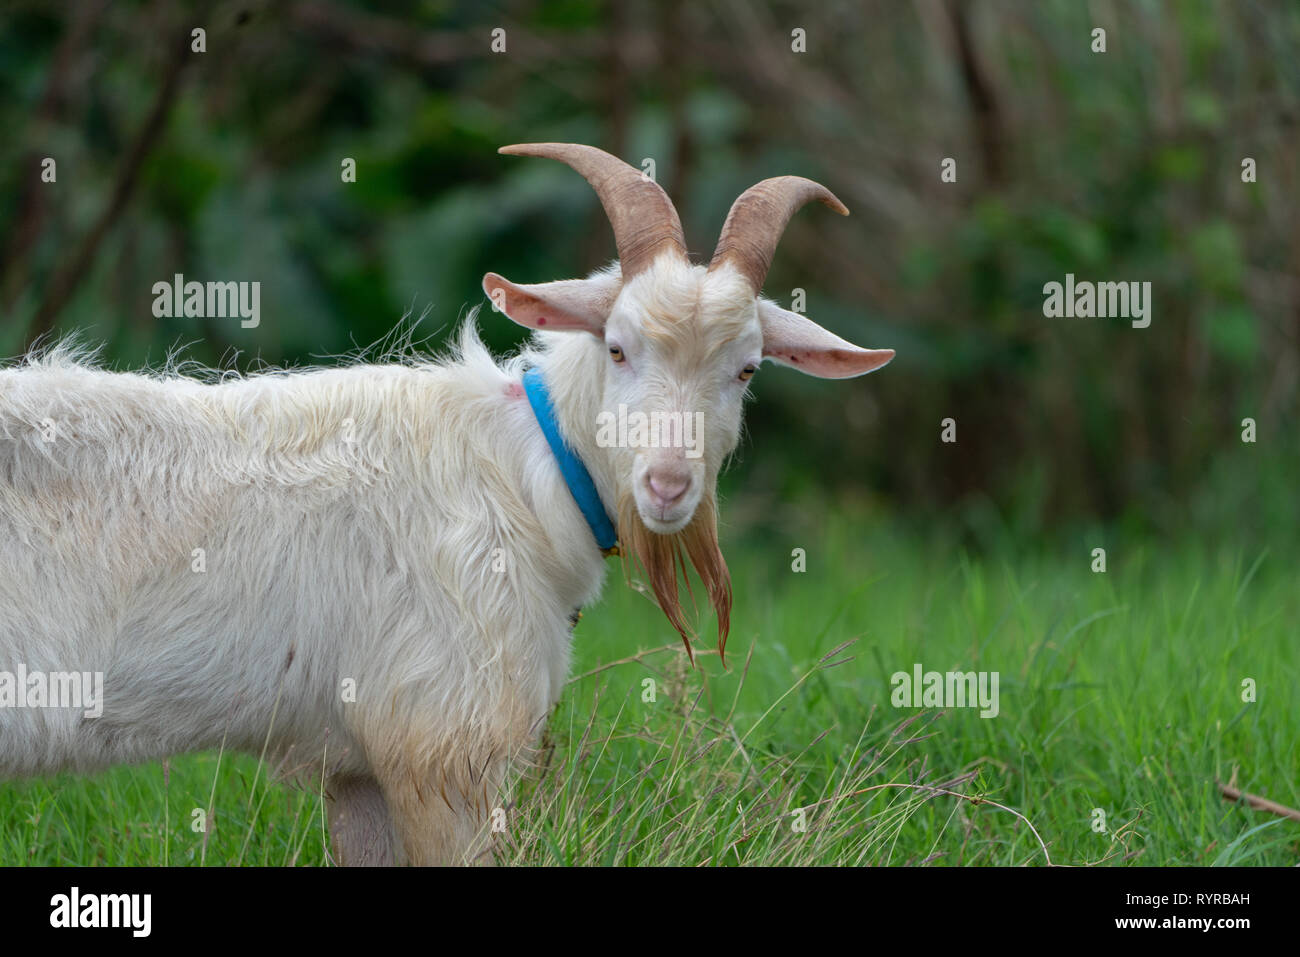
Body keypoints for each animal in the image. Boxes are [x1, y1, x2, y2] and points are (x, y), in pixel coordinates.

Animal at [0, 143, 894, 865]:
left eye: (746, 368)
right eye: (617, 347)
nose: (669, 485)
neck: (523, 474)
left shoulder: (358, 766)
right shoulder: (442, 748)